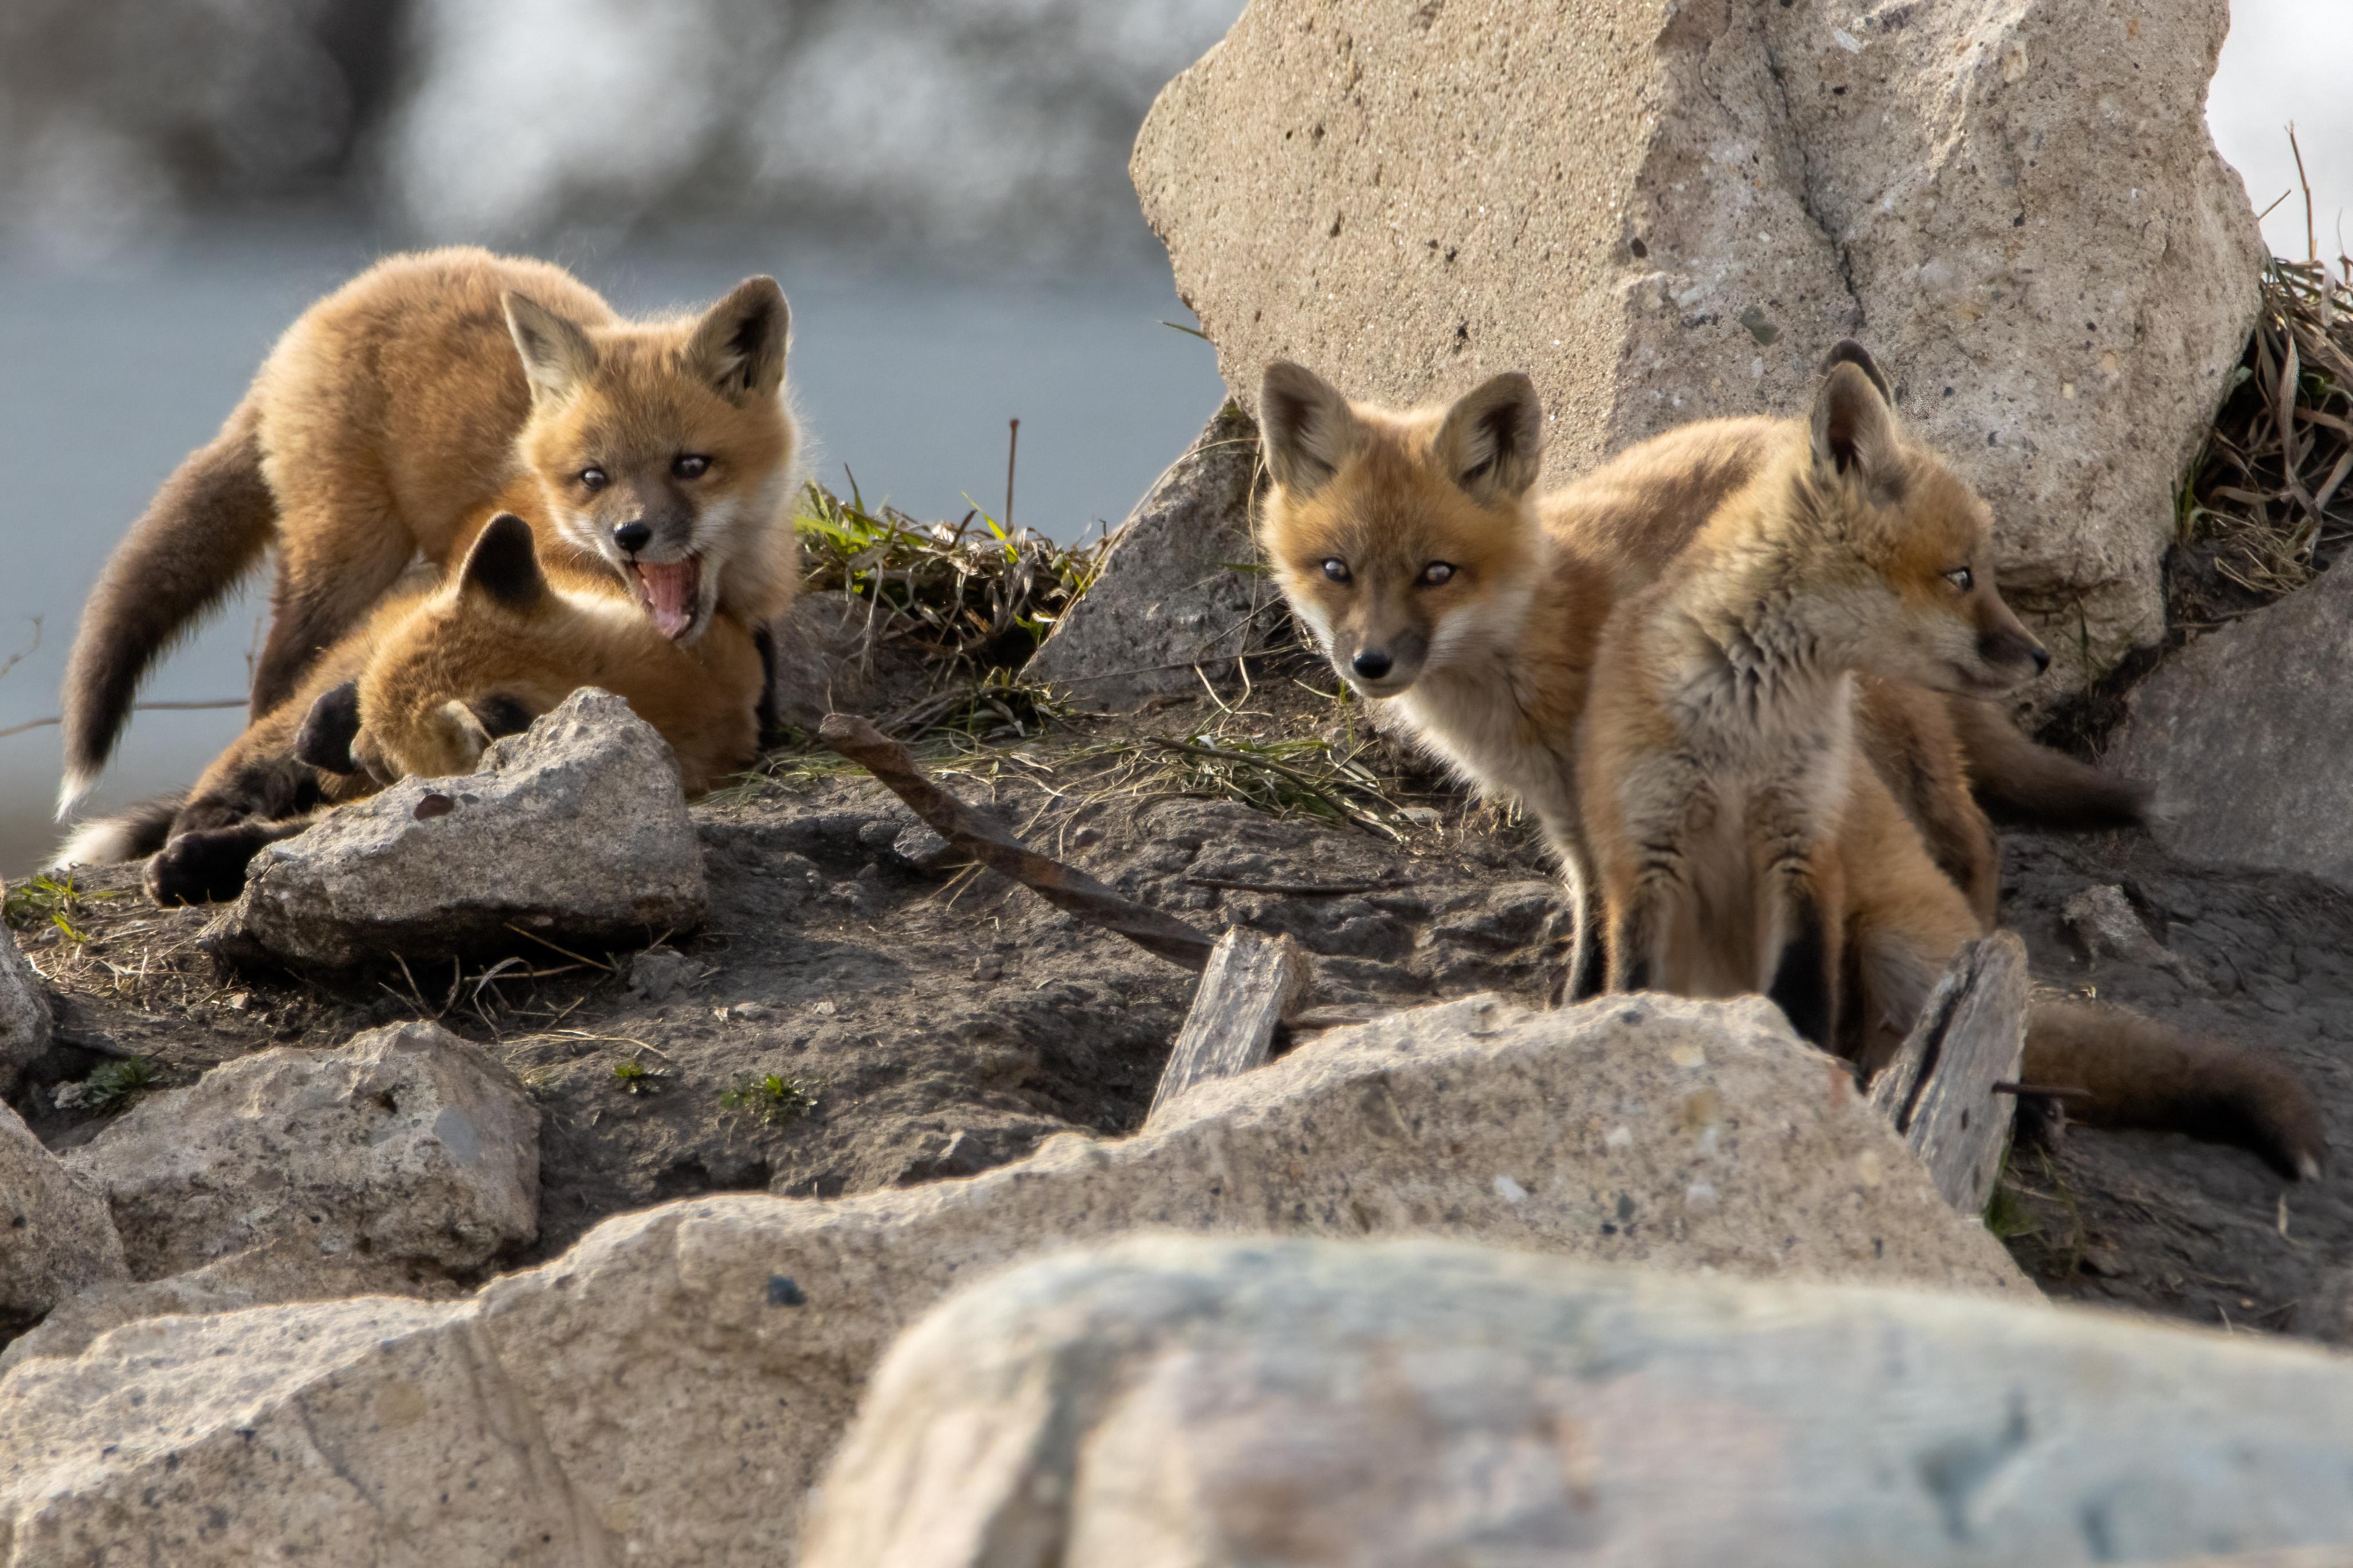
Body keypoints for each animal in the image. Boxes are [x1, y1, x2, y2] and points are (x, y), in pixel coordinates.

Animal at [64, 513, 765, 906]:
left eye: (384, 760)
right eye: (365, 726)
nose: (315, 751)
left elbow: (296, 839)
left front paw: (203, 864)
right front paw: (195, 856)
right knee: (219, 785)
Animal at [1575, 342, 2323, 1176]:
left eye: (1986, 572)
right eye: (1959, 576)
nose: (2039, 656)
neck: (1742, 731)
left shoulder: (1806, 856)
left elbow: (1799, 1008)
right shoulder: (1643, 857)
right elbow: (1631, 988)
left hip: (1895, 947)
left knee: (1963, 1038)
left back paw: (2008, 1110)